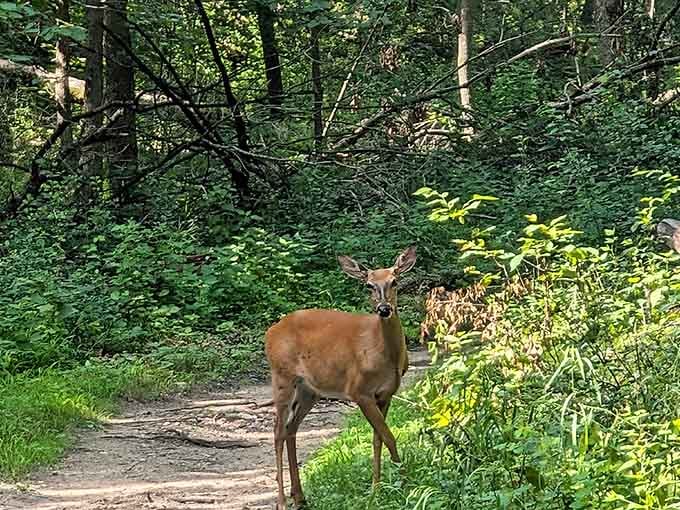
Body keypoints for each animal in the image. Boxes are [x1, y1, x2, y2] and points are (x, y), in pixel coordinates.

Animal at [265, 246, 417, 510]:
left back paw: (300, 496)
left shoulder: (386, 393)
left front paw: (377, 488)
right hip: (282, 376)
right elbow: (389, 436)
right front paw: (405, 484)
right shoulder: (359, 390)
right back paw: (282, 502)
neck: (385, 354)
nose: (384, 309)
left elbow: (378, 438)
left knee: (291, 428)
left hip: (308, 390)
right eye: (368, 285)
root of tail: (270, 331)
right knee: (277, 432)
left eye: (394, 281)